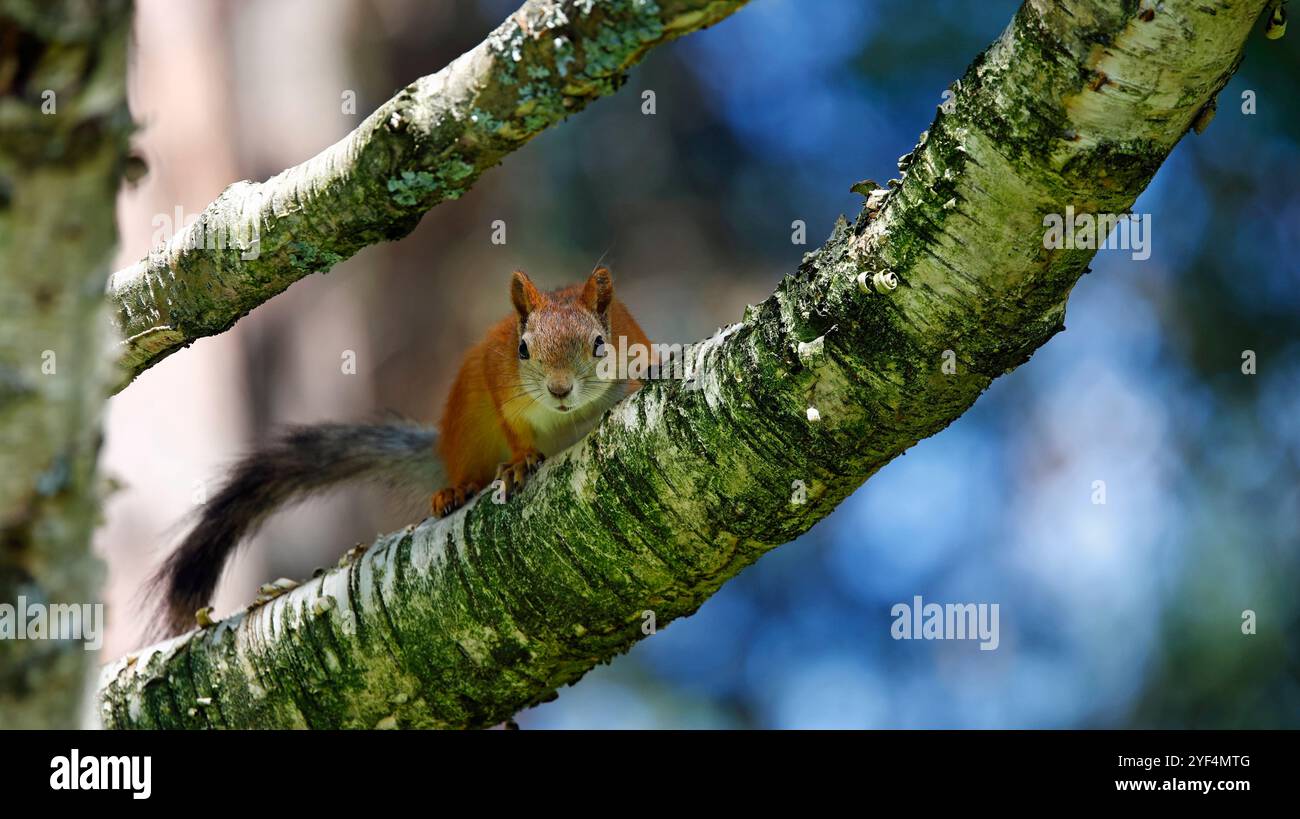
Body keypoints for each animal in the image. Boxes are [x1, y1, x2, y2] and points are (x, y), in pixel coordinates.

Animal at [149, 266, 651, 637]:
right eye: (523, 349)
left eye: (600, 344)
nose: (560, 390)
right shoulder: (499, 381)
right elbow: (515, 431)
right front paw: (521, 461)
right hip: (468, 422)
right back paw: (457, 489)